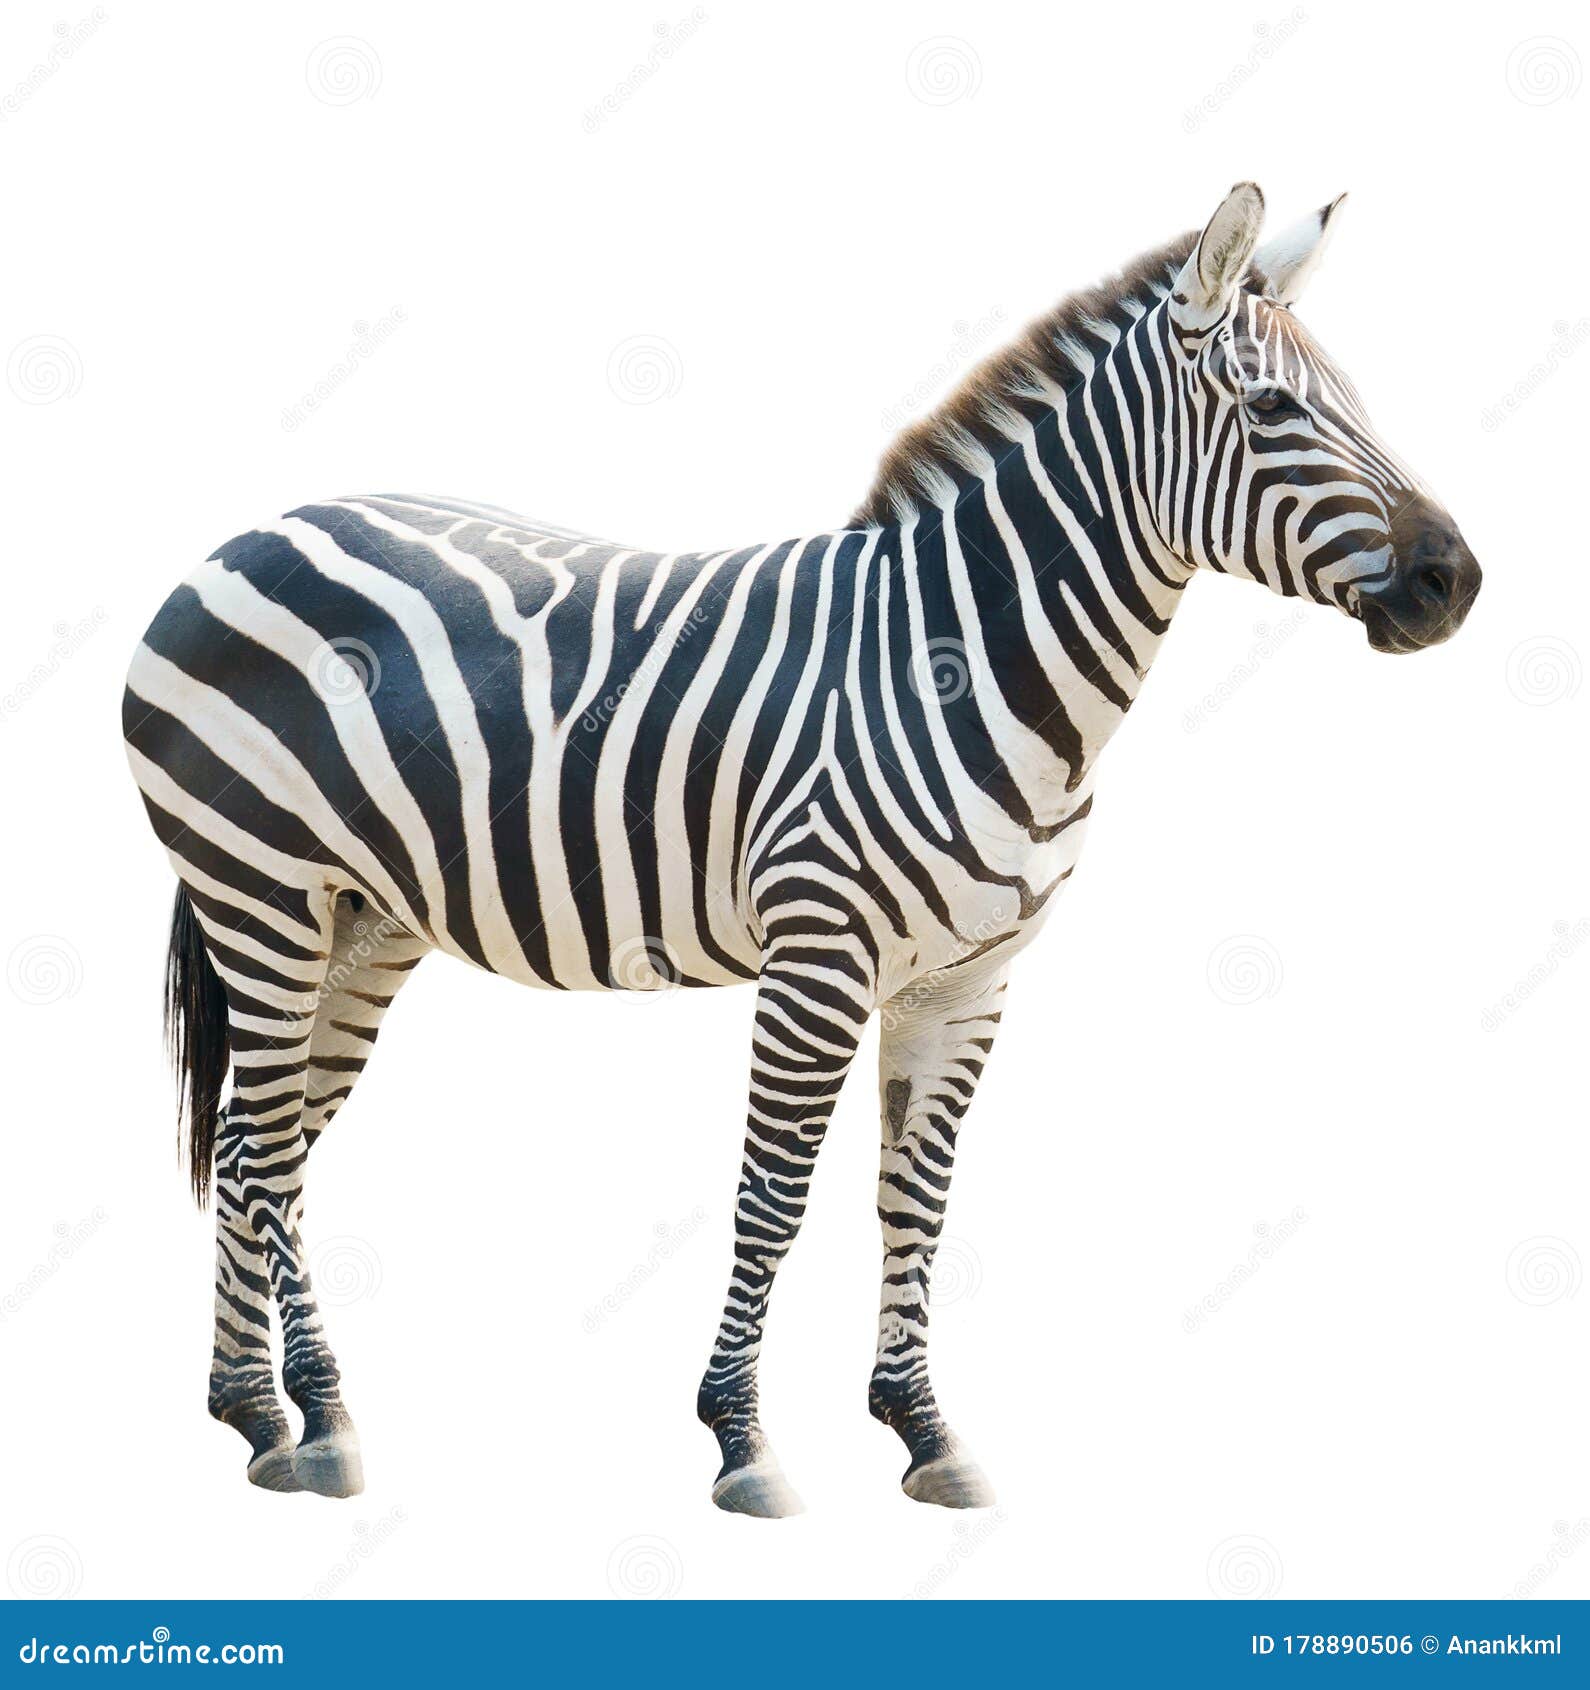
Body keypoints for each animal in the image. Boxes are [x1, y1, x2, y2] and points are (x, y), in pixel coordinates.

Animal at [123, 182, 1480, 1516]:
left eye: (1360, 402)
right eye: (1270, 408)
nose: (1454, 581)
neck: (971, 664)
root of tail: (249, 533)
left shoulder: (968, 981)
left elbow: (916, 1202)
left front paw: (925, 1431)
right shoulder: (818, 957)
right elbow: (775, 1198)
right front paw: (742, 1439)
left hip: (363, 924)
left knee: (256, 1144)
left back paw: (256, 1411)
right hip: (262, 893)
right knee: (265, 1149)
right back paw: (320, 1419)